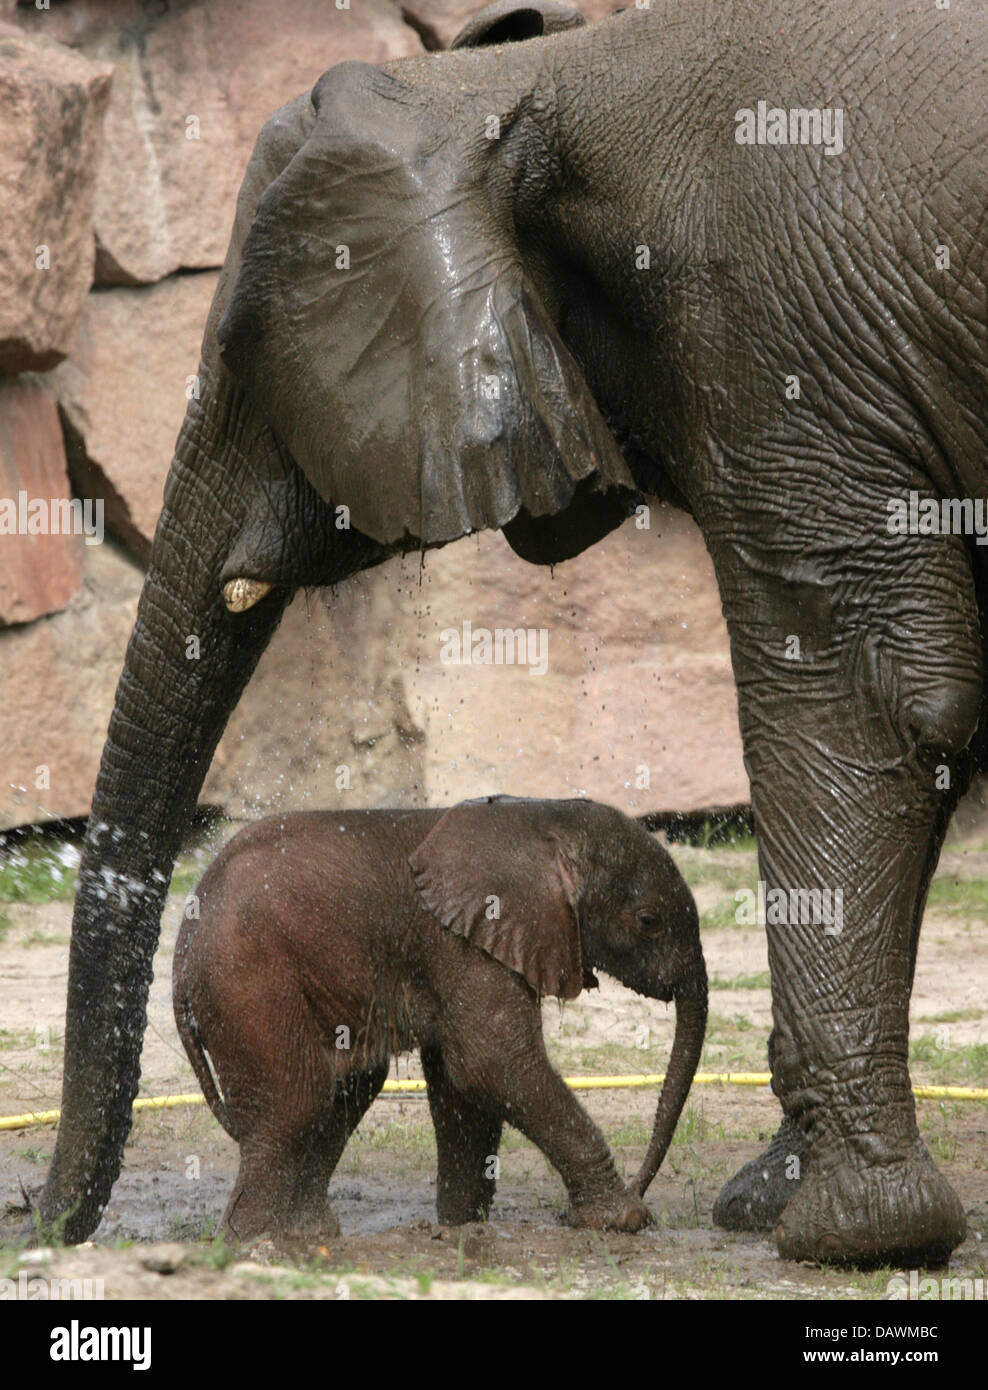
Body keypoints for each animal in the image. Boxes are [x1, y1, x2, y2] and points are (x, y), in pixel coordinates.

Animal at [171, 797, 707, 1240]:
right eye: (649, 922)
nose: (641, 1186)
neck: (542, 816)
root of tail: (183, 939)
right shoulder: (462, 940)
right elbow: (493, 1063)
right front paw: (625, 1221)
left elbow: (462, 1085)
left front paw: (461, 1227)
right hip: (246, 979)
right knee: (294, 1103)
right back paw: (255, 1244)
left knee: (348, 1087)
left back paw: (308, 1235)